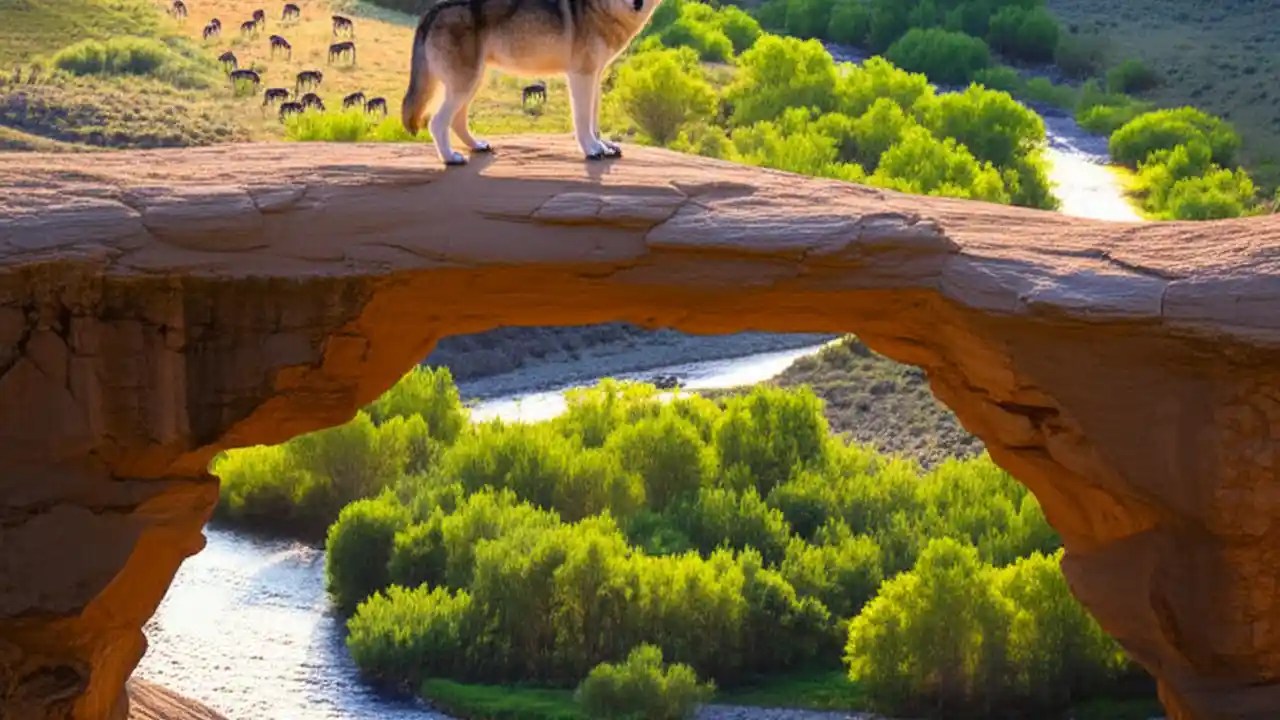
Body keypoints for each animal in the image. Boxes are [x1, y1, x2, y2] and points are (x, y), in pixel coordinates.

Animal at [401, 0, 662, 166]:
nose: (636, 4)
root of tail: (433, 10)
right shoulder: (581, 75)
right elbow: (582, 121)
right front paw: (591, 150)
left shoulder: (595, 75)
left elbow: (593, 120)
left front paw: (603, 145)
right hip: (463, 85)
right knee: (436, 122)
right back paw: (450, 158)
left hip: (470, 83)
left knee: (456, 122)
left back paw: (476, 146)